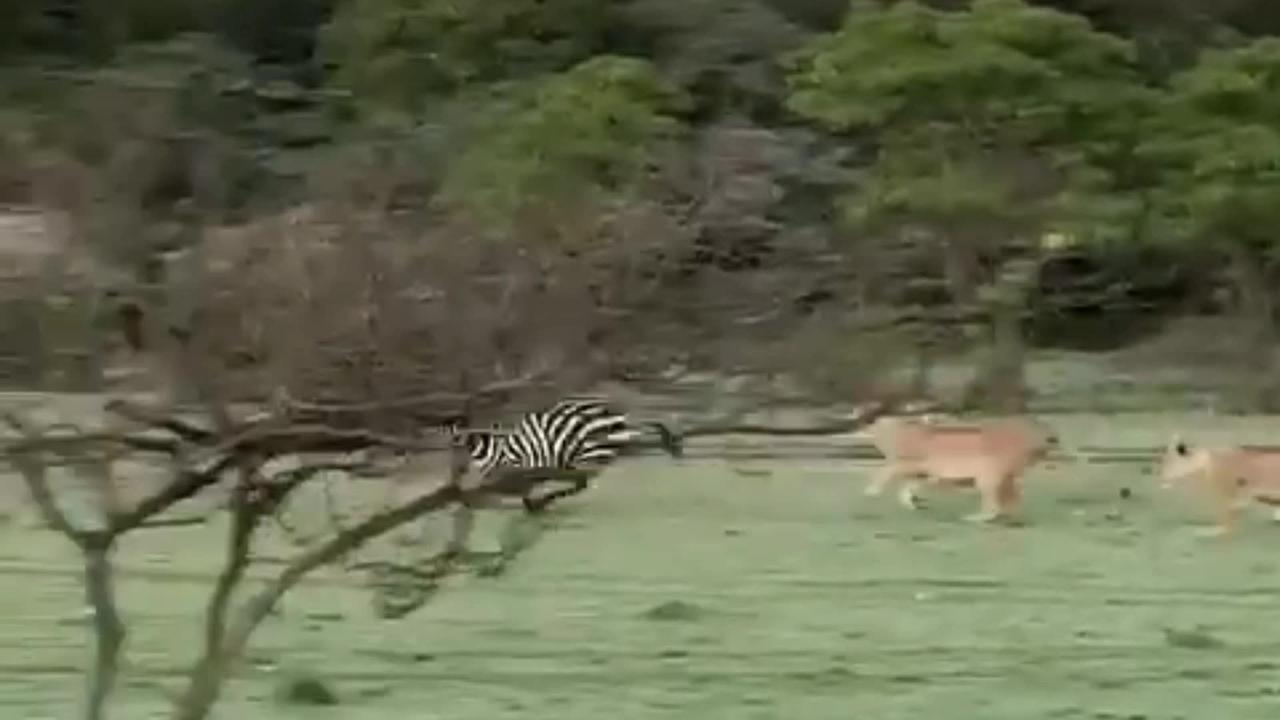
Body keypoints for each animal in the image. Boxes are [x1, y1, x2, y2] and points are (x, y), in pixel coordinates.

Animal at [451, 397, 684, 513]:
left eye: (461, 468)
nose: (458, 490)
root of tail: (618, 419)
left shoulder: (532, 465)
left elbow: (524, 486)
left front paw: (532, 503)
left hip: (587, 454)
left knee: (581, 483)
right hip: (590, 456)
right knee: (581, 482)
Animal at [863, 414, 1059, 523]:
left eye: (873, 425)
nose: (863, 427)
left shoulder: (910, 462)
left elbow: (886, 471)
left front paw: (871, 490)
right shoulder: (924, 471)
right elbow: (908, 486)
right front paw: (910, 503)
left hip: (988, 474)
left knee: (993, 506)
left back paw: (976, 518)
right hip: (1004, 476)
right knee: (1011, 499)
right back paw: (1007, 516)